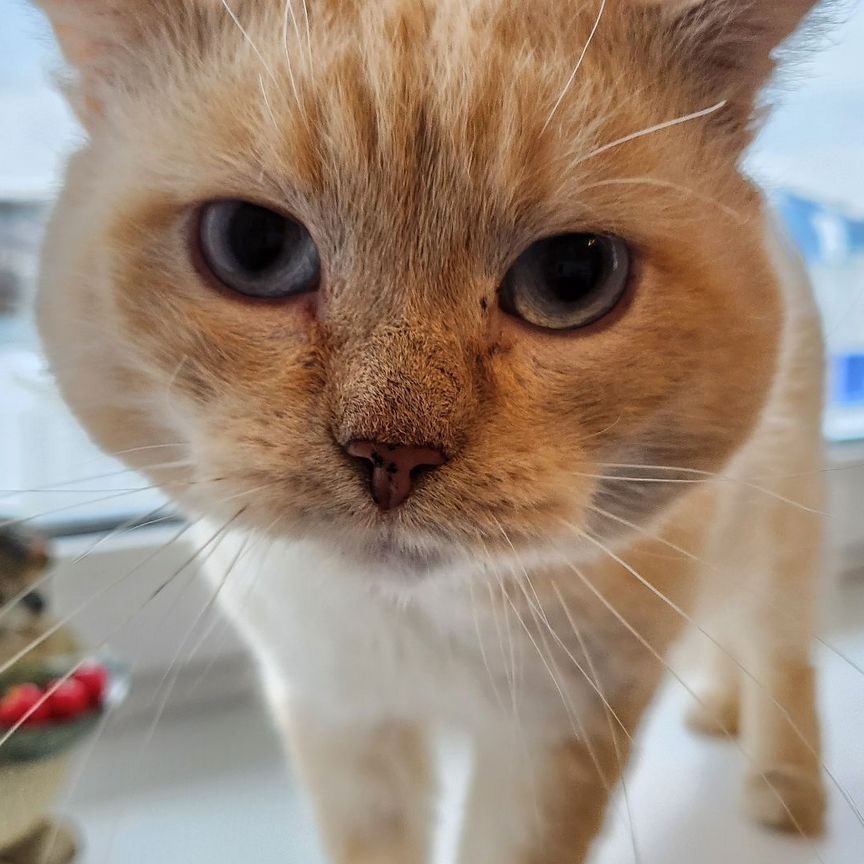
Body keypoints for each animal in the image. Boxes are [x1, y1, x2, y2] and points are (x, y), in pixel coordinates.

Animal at [31, 0, 828, 861]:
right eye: (253, 246)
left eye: (574, 277)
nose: (393, 455)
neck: (415, 620)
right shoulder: (342, 721)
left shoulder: (557, 738)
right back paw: (717, 712)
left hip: (776, 535)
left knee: (779, 651)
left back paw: (785, 794)